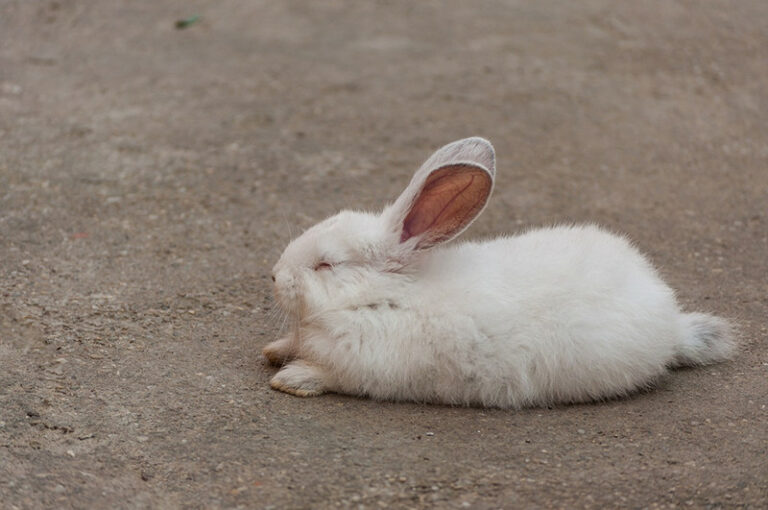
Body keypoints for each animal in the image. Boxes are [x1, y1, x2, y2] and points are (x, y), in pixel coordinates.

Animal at [263, 137, 736, 408]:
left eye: (326, 264)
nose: (274, 275)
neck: (380, 296)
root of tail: (672, 323)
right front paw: (273, 351)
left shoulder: (364, 368)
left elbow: (329, 376)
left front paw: (291, 378)